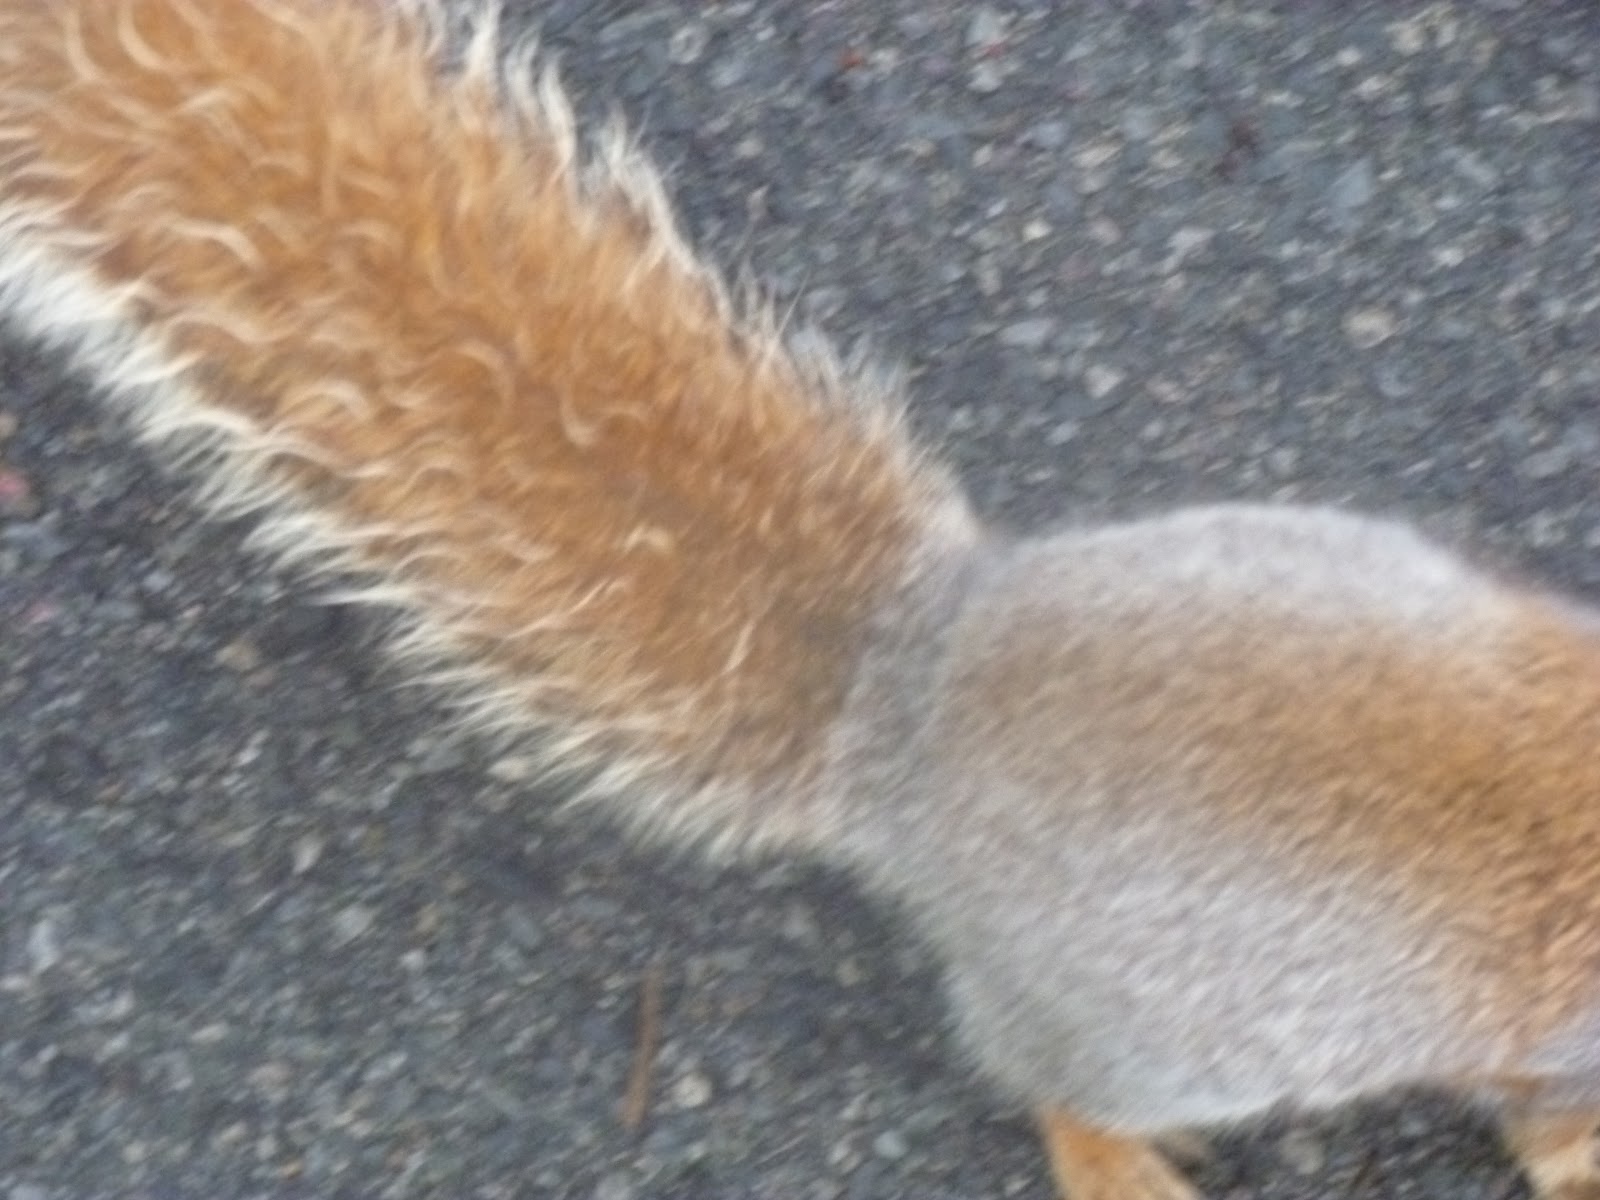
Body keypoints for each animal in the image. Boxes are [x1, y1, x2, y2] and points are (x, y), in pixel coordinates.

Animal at [3, 3, 1600, 1198]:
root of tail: (912, 693)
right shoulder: (1555, 1039)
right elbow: (1549, 1126)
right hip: (1141, 1033)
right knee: (1044, 1084)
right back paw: (1117, 1167)